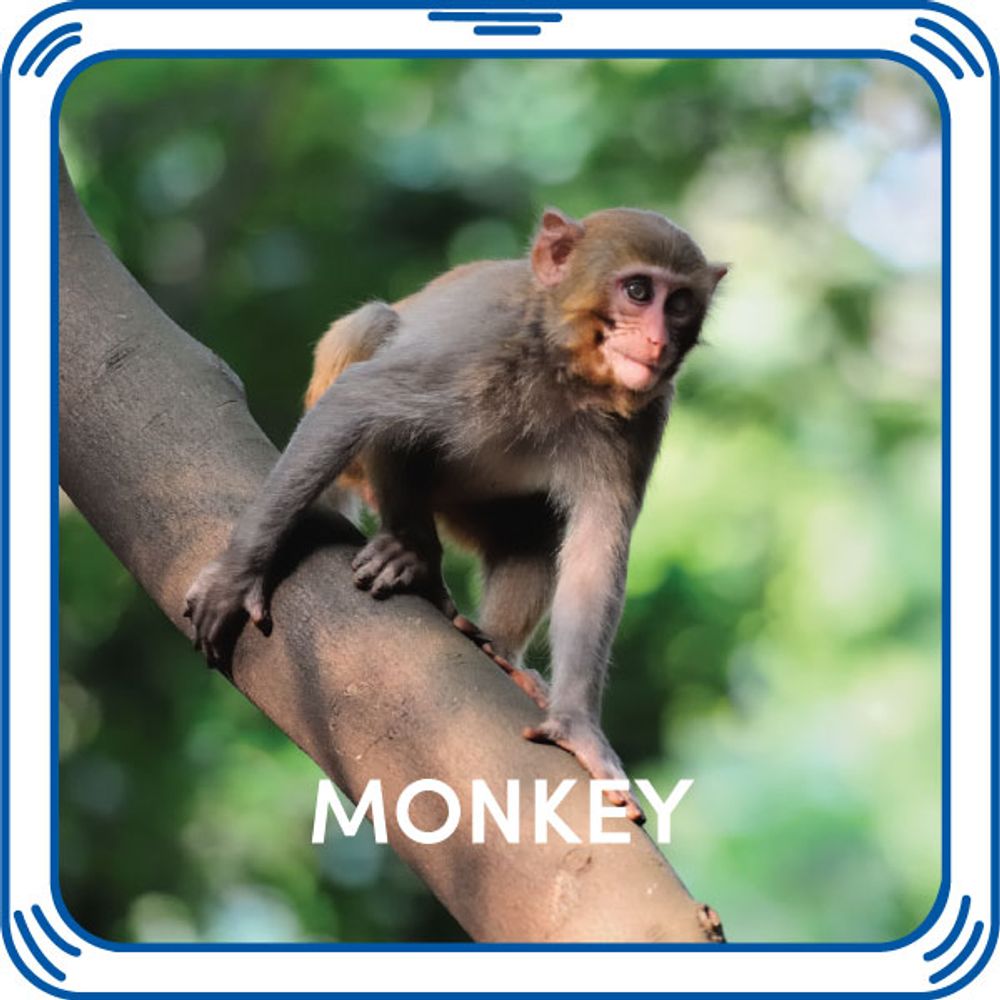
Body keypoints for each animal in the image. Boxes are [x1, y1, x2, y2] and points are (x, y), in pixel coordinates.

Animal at [184, 207, 727, 822]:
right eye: (638, 291)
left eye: (679, 303)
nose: (657, 338)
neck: (560, 367)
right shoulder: (475, 342)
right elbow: (358, 402)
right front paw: (237, 575)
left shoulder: (644, 418)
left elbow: (596, 547)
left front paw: (577, 726)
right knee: (376, 336)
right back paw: (412, 550)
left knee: (534, 531)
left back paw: (499, 650)